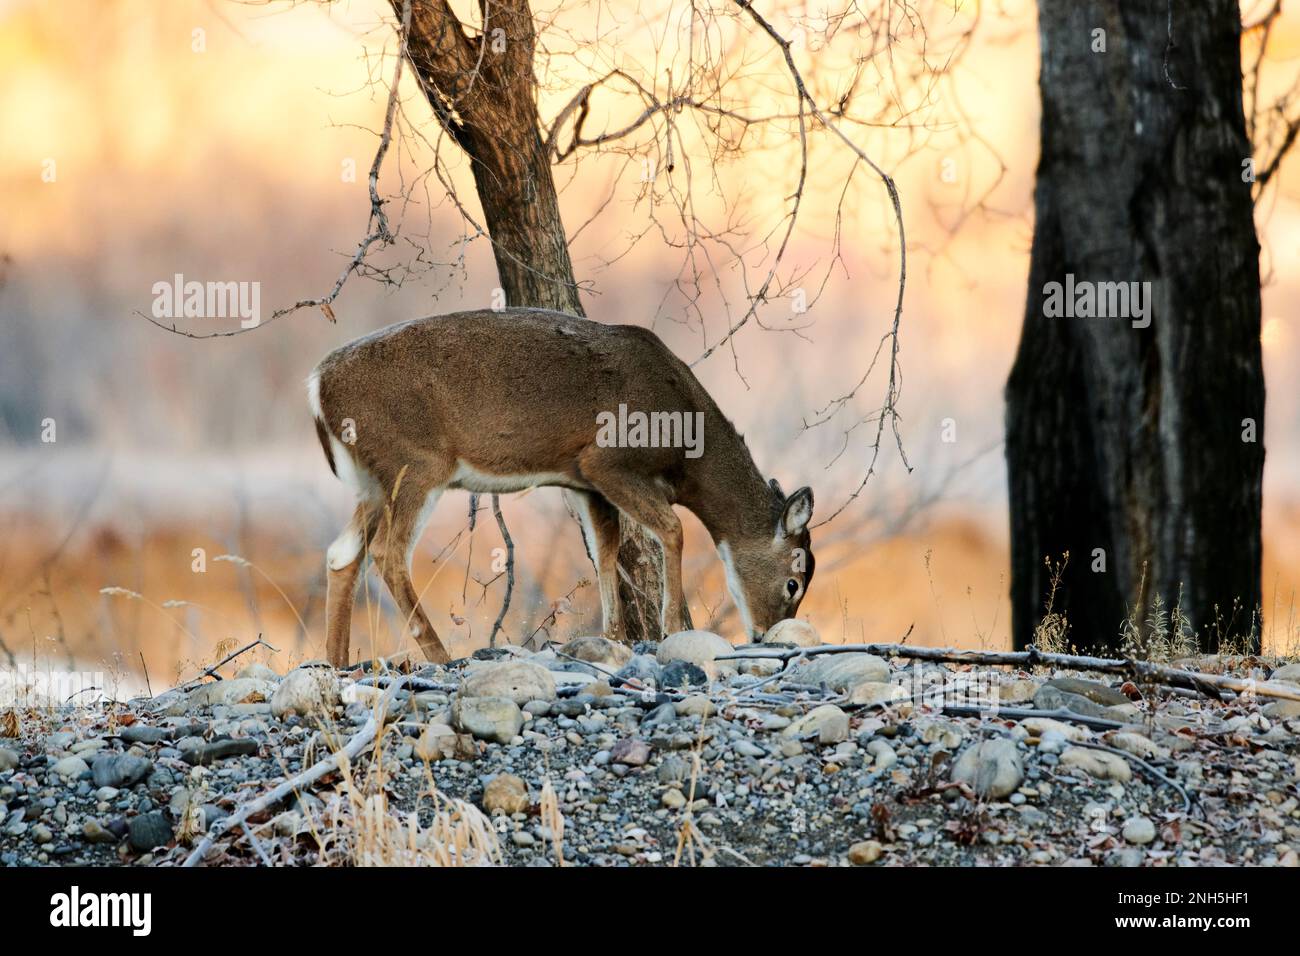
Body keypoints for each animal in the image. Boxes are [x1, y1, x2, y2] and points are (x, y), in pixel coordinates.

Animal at [307, 307, 816, 667]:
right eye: (793, 582)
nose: (764, 635)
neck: (687, 447)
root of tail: (316, 385)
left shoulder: (586, 481)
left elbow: (606, 552)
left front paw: (613, 638)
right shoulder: (606, 459)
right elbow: (672, 529)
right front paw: (672, 627)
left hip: (373, 481)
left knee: (341, 554)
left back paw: (335, 661)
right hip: (415, 462)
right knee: (388, 554)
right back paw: (440, 655)